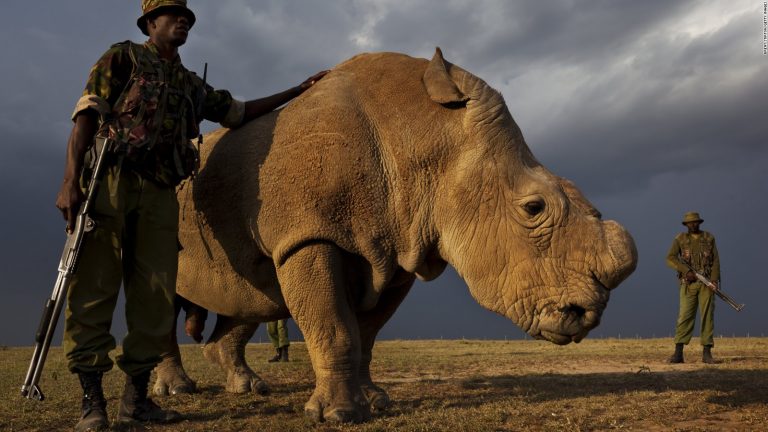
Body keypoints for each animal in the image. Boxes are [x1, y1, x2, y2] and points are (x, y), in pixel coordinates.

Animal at [153, 48, 637, 423]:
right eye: (533, 208)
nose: (586, 315)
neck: (425, 134)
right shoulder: (309, 235)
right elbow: (335, 327)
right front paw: (337, 415)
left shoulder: (400, 249)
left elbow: (365, 334)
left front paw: (375, 401)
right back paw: (176, 391)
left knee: (248, 296)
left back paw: (248, 387)